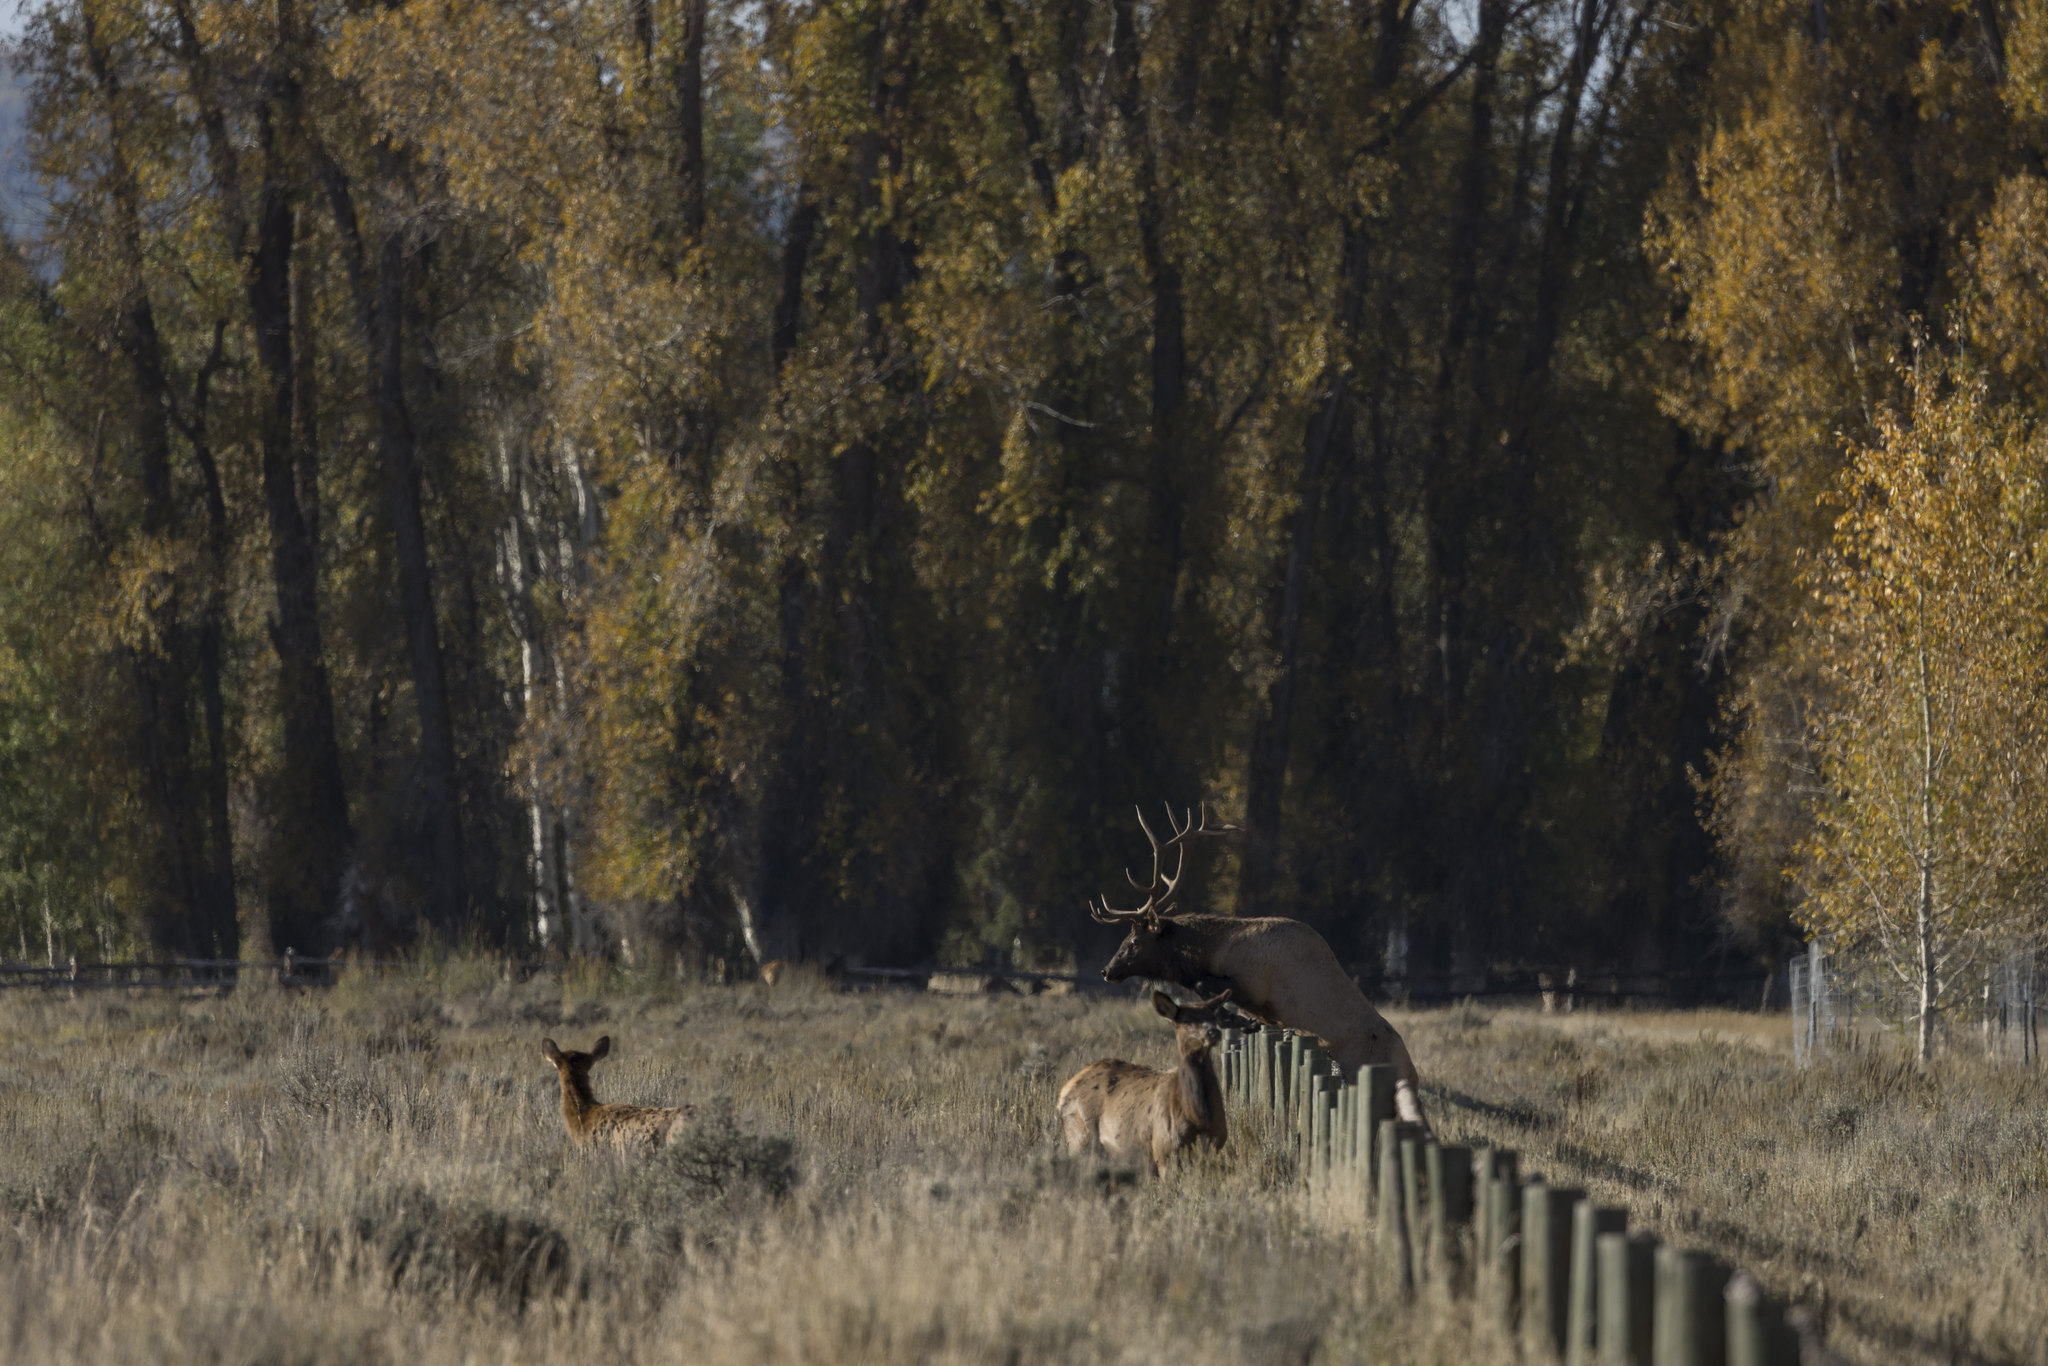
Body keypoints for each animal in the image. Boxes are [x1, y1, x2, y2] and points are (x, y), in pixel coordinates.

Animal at [1057, 988, 1236, 1177]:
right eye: (1187, 1021)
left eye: (1213, 1017)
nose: (1214, 1033)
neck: (1198, 1117)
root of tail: (1063, 1093)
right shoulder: (1164, 1151)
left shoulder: (1215, 1146)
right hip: (1079, 1140)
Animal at [1090, 805, 1430, 1128]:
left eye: (1134, 941)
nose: (1107, 971)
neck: (1215, 948)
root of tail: (1411, 1075)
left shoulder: (1254, 985)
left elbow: (1205, 986)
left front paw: (1240, 1021)